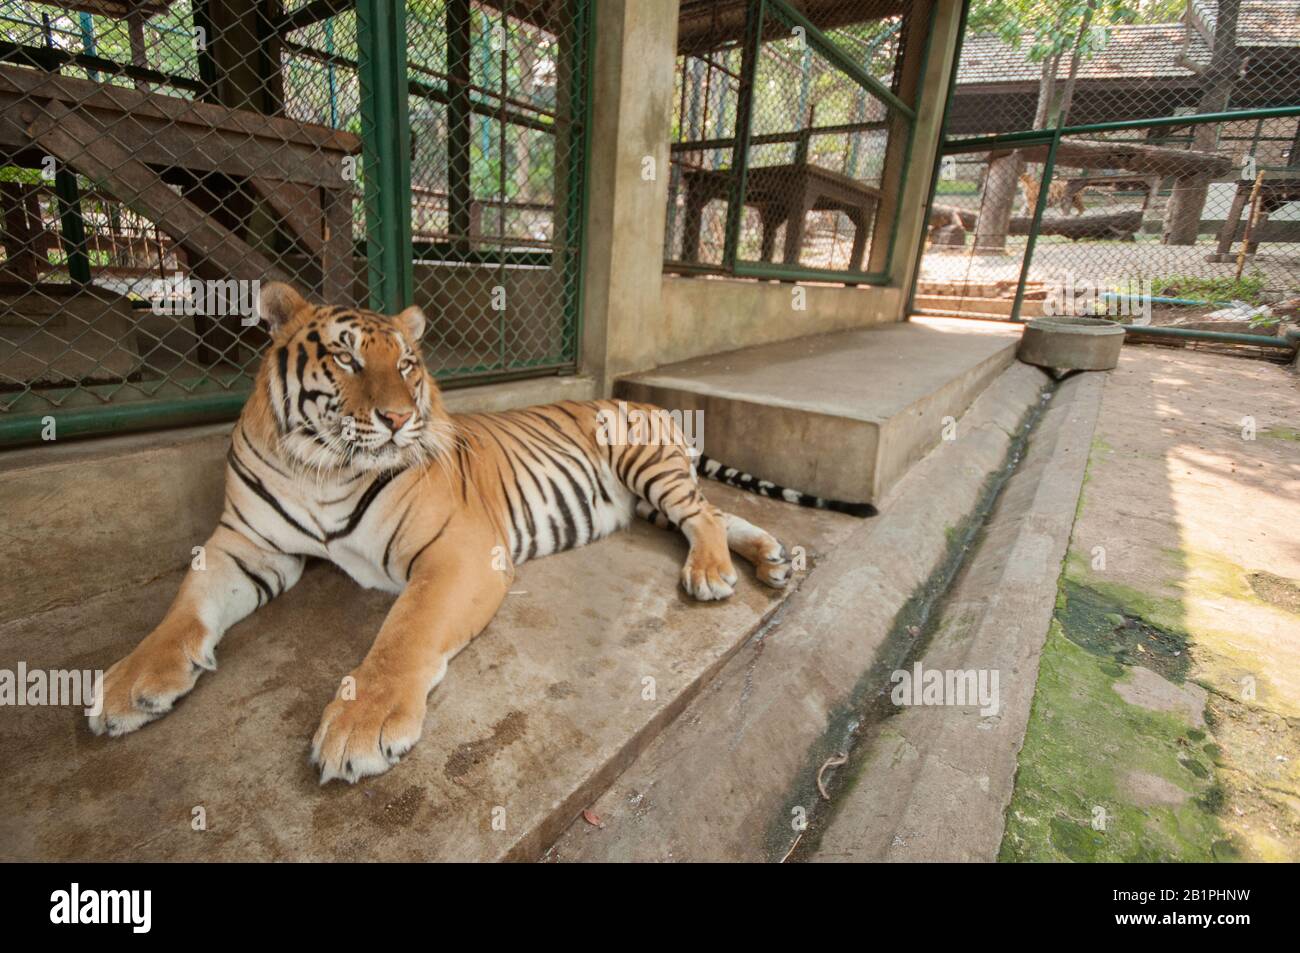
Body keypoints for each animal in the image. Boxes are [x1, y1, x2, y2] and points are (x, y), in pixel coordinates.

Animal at [87, 283, 872, 783]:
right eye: (345, 357)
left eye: (406, 362)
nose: (399, 418)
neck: (322, 466)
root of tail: (647, 403)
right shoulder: (245, 546)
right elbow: (183, 609)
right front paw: (128, 686)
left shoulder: (457, 551)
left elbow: (403, 632)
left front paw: (361, 724)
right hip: (650, 495)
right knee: (718, 513)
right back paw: (771, 559)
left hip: (645, 463)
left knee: (704, 515)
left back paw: (715, 574)